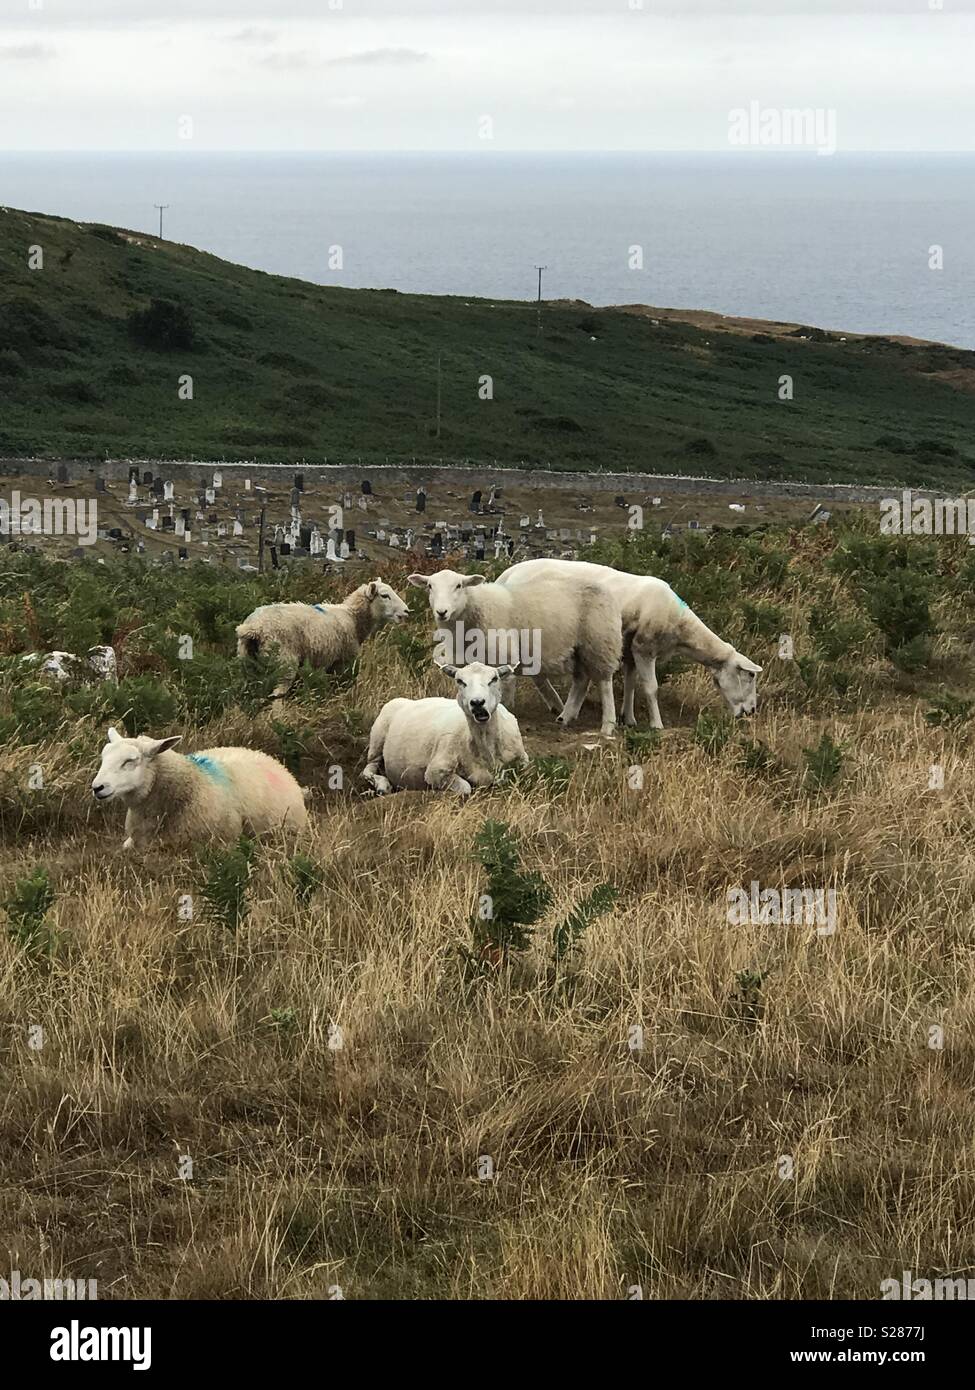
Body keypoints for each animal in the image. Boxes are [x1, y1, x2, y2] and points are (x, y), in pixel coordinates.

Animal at [236, 579, 409, 699]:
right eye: (385, 595)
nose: (407, 611)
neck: (353, 618)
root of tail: (255, 628)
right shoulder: (343, 662)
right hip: (283, 661)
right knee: (277, 696)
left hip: (247, 663)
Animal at [362, 661, 528, 796]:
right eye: (460, 681)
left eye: (494, 679)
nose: (477, 702)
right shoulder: (435, 771)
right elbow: (466, 787)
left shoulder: (524, 761)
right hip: (377, 739)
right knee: (368, 768)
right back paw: (382, 786)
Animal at [407, 569, 622, 737]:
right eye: (429, 586)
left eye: (459, 585)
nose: (441, 612)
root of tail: (606, 590)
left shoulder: (505, 656)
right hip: (579, 649)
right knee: (581, 680)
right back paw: (565, 717)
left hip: (600, 641)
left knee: (604, 683)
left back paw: (607, 726)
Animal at [497, 559, 762, 729]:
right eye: (750, 676)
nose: (751, 712)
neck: (681, 627)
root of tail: (506, 575)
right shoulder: (644, 647)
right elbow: (651, 687)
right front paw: (656, 724)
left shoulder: (630, 652)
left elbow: (631, 684)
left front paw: (629, 718)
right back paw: (551, 705)